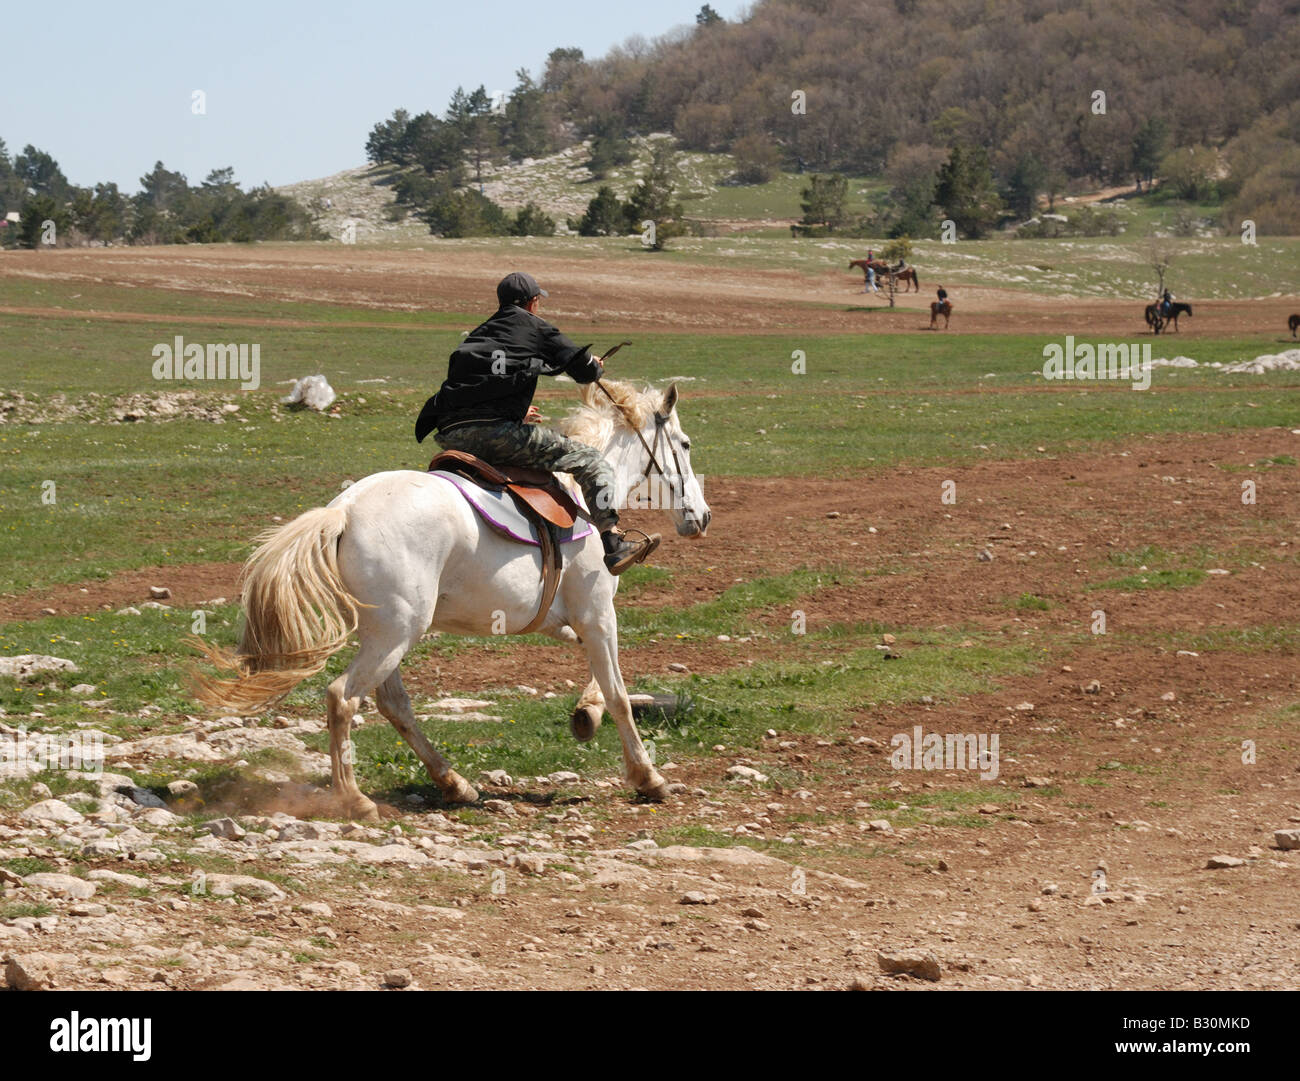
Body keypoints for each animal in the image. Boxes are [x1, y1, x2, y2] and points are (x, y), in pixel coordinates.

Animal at [191, 379, 711, 821]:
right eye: (685, 445)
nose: (702, 517)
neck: (581, 496)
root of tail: (344, 511)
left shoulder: (569, 620)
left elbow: (603, 682)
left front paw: (585, 716)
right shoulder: (598, 613)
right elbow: (619, 692)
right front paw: (647, 777)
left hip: (384, 634)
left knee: (393, 704)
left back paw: (454, 783)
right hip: (398, 632)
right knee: (343, 698)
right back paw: (356, 800)